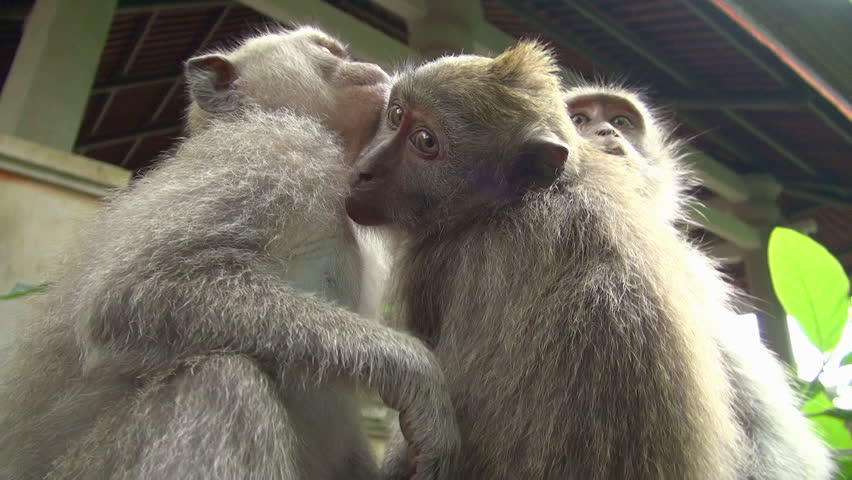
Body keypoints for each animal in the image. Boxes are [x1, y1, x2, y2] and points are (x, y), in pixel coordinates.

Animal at [0, 27, 459, 480]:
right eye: (327, 50)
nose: (369, 65)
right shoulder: (269, 153)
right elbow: (131, 292)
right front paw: (415, 374)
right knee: (224, 382)